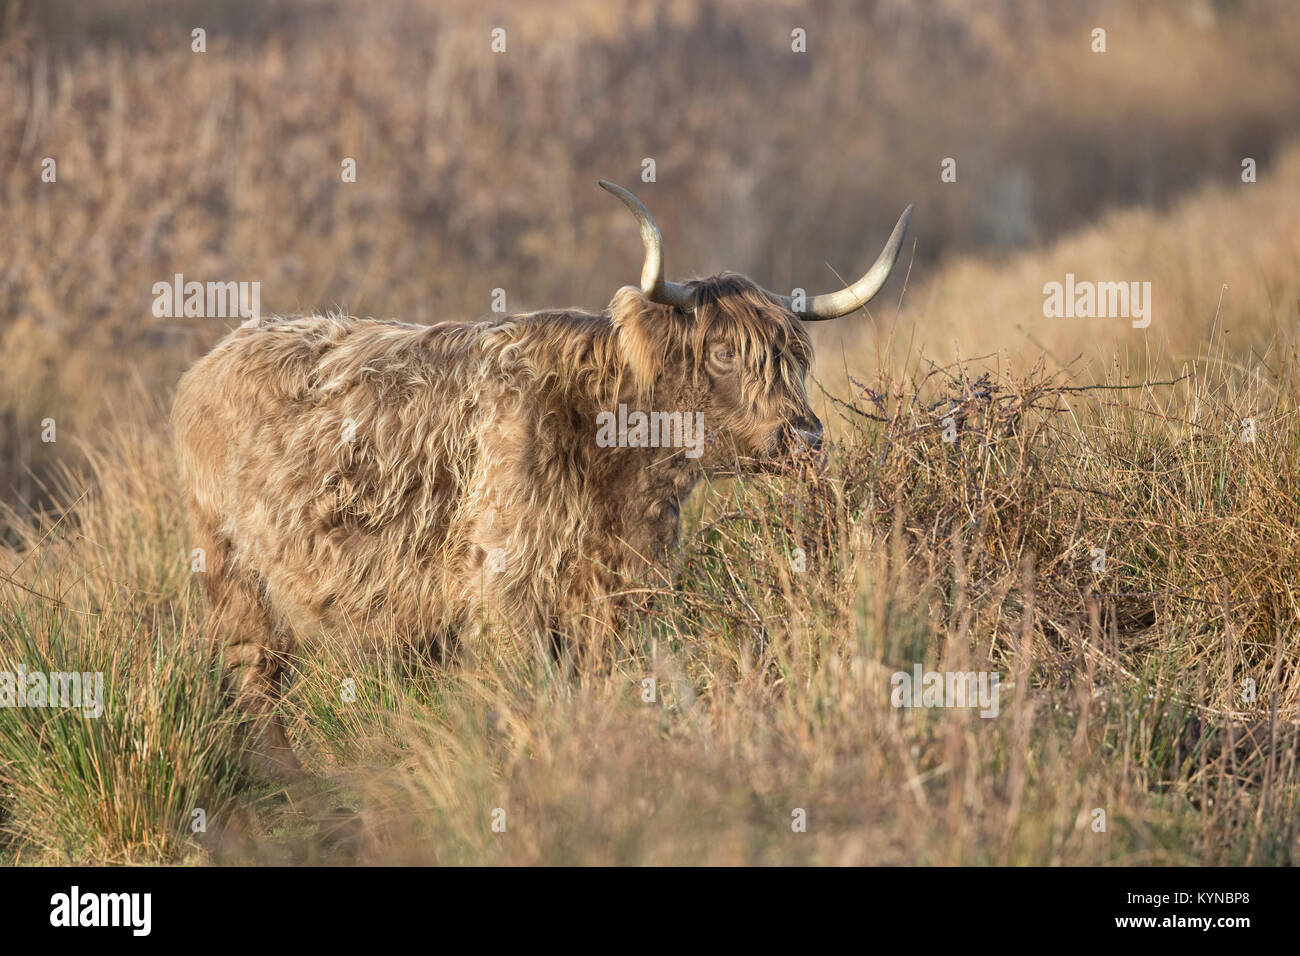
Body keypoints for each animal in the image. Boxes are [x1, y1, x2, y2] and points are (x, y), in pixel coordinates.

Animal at [172, 181, 912, 778]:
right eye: (725, 353)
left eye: (795, 357)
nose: (805, 437)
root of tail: (211, 360)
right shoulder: (506, 585)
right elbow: (530, 691)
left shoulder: (616, 593)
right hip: (235, 578)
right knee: (255, 680)